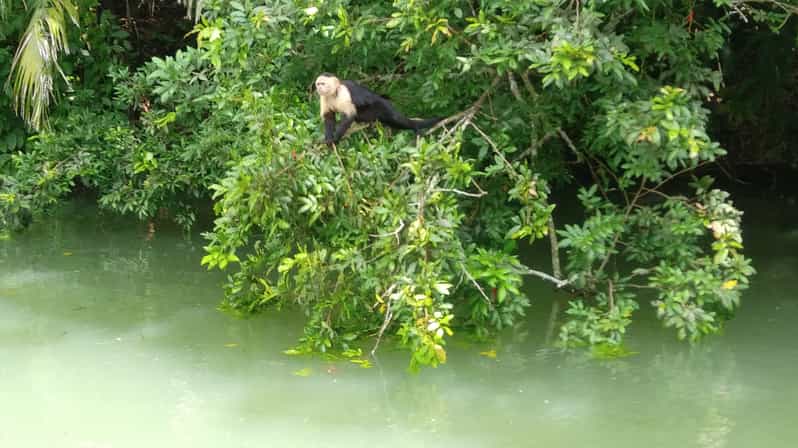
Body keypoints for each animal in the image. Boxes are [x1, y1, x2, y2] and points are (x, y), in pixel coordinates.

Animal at [314, 73, 443, 145]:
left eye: (323, 84)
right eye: (318, 84)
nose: (318, 88)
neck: (333, 93)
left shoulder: (343, 93)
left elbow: (349, 116)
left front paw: (335, 139)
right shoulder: (323, 97)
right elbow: (329, 117)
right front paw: (328, 139)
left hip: (382, 105)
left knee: (397, 119)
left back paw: (414, 126)